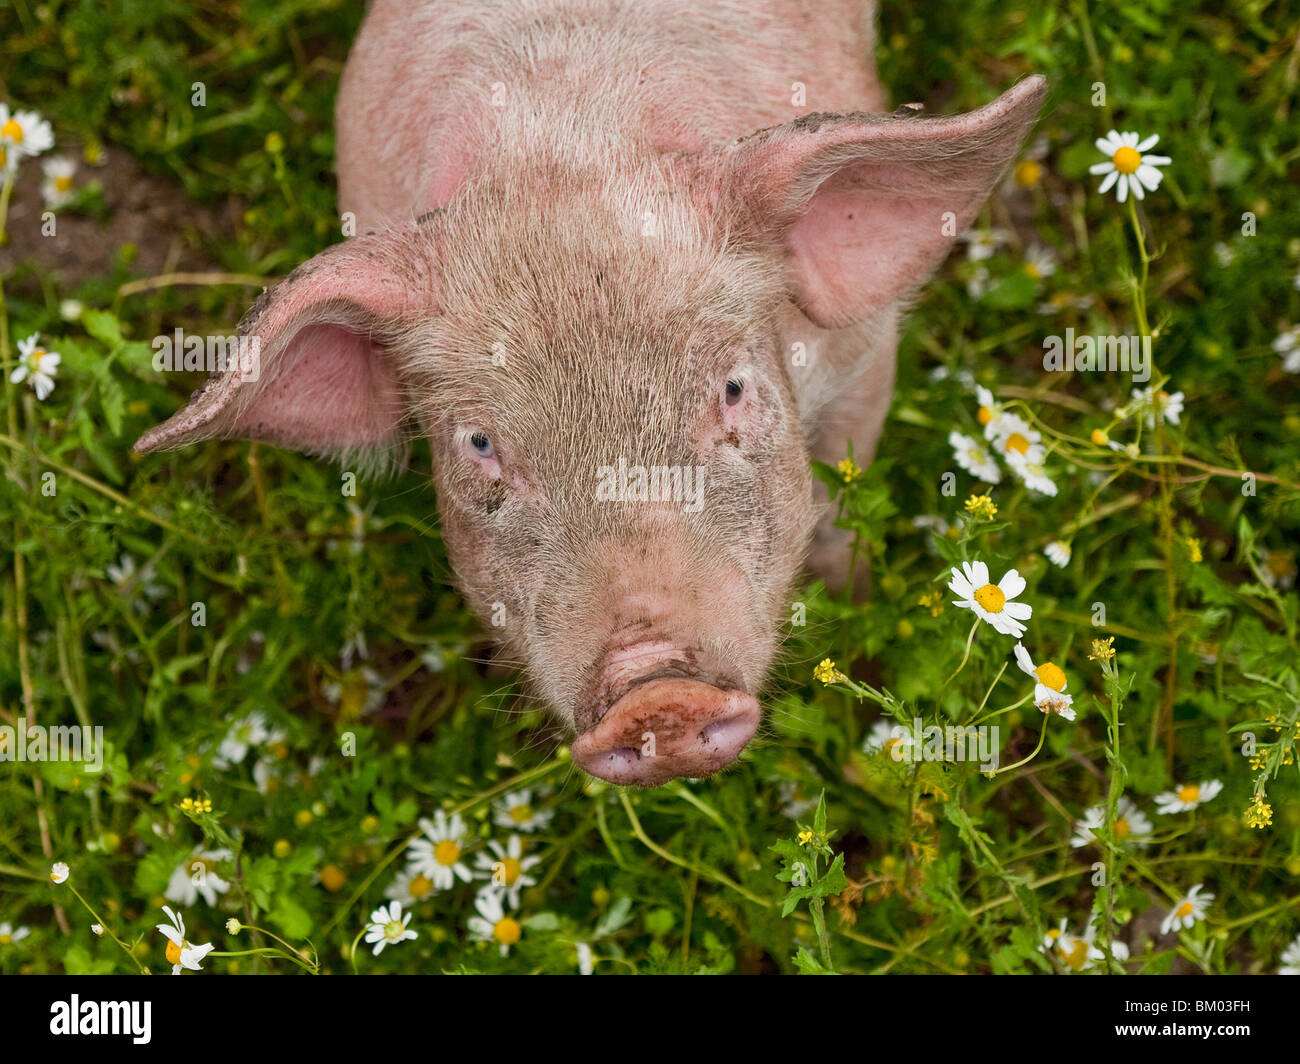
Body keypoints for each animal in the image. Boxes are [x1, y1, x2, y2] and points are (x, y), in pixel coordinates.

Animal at [135, 0, 1045, 785]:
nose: (658, 694)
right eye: (480, 444)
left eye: (733, 388)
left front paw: (851, 600)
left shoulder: (867, 352)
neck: (559, 137)